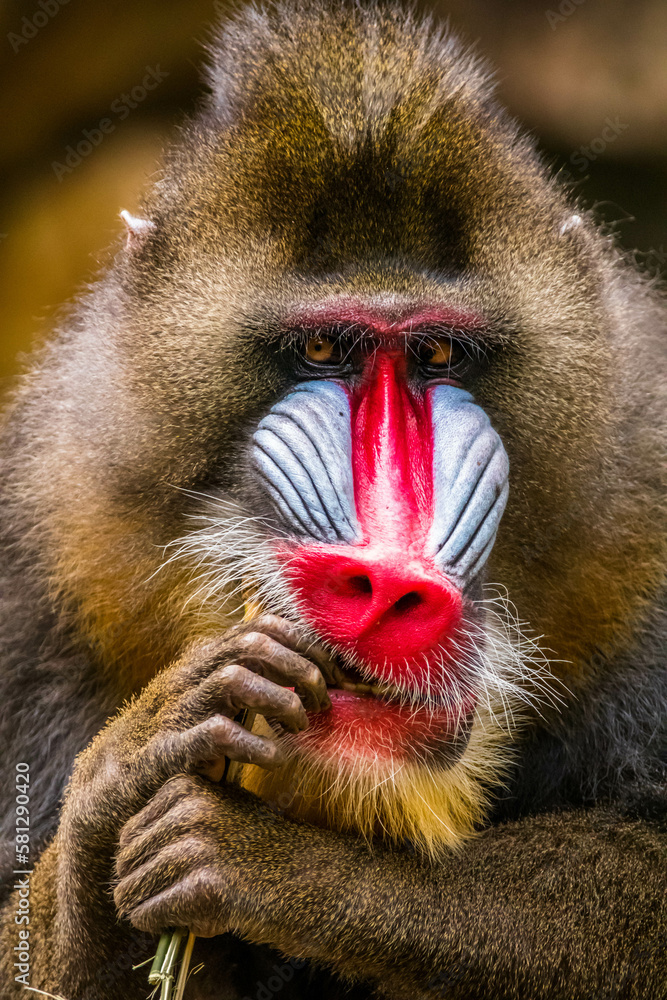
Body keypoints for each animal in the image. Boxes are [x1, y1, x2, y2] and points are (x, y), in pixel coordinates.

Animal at [0, 1, 665, 998]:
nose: (386, 582)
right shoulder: (35, 576)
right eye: (321, 349)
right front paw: (128, 766)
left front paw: (277, 868)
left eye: (437, 355)